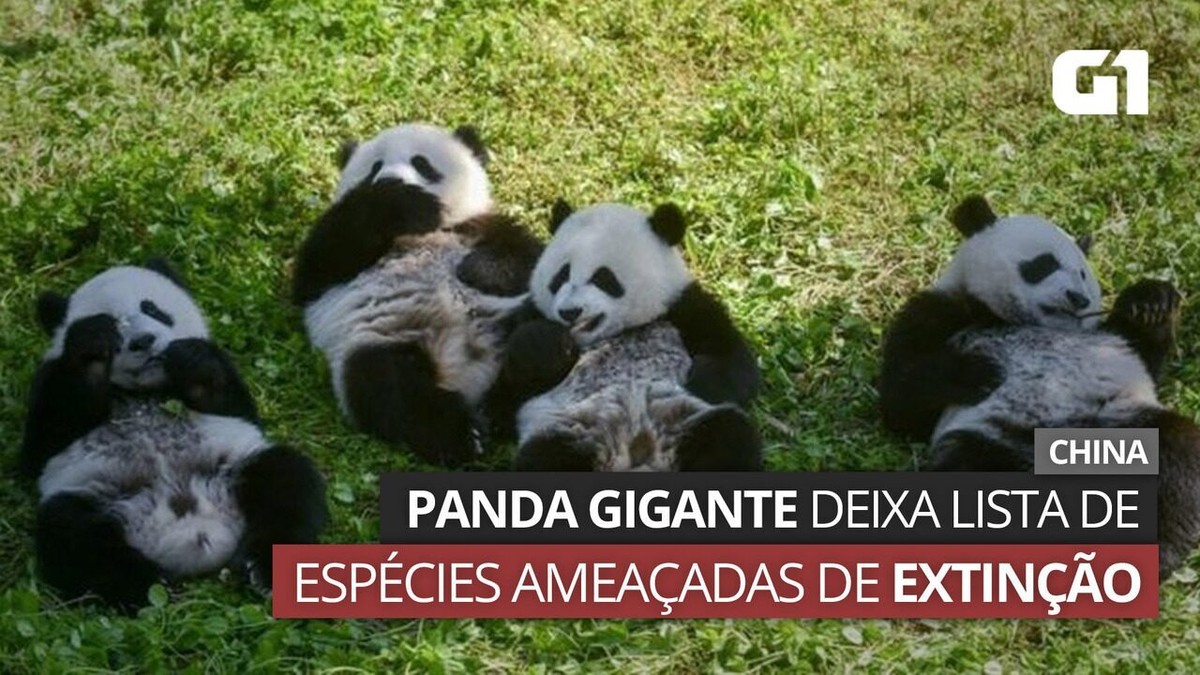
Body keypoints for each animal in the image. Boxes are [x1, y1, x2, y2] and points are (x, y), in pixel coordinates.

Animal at [21, 261, 328, 608]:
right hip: (100, 498)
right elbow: (41, 445)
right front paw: (92, 348)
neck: (145, 390)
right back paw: (151, 586)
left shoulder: (225, 382)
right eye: (115, 324)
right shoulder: (49, 385)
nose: (144, 341)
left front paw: (190, 361)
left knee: (286, 480)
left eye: (153, 309)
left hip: (235, 468)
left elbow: (236, 405)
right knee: (74, 537)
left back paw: (262, 571)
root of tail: (195, 532)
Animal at [292, 123, 542, 466]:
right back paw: (466, 434)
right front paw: (396, 200)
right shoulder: (327, 273)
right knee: (388, 387)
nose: (391, 179)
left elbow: (529, 256)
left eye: (422, 163)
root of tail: (471, 377)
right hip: (381, 339)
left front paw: (477, 271)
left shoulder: (480, 225)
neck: (422, 232)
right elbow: (318, 266)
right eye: (374, 167)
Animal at [490, 200, 763, 471]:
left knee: (728, 438)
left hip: (688, 421)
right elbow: (507, 397)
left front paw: (698, 382)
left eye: (603, 277)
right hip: (569, 431)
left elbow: (733, 361)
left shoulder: (682, 307)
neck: (619, 332)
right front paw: (545, 344)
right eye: (561, 276)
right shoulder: (529, 316)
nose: (569, 312)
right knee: (546, 457)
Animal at [879, 195, 1200, 575]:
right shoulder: (943, 309)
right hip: (997, 444)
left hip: (1125, 428)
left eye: (1082, 273)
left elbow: (1142, 354)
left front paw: (1152, 303)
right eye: (1043, 264)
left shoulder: (1109, 345)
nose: (1078, 298)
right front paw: (979, 371)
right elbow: (902, 400)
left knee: (1177, 459)